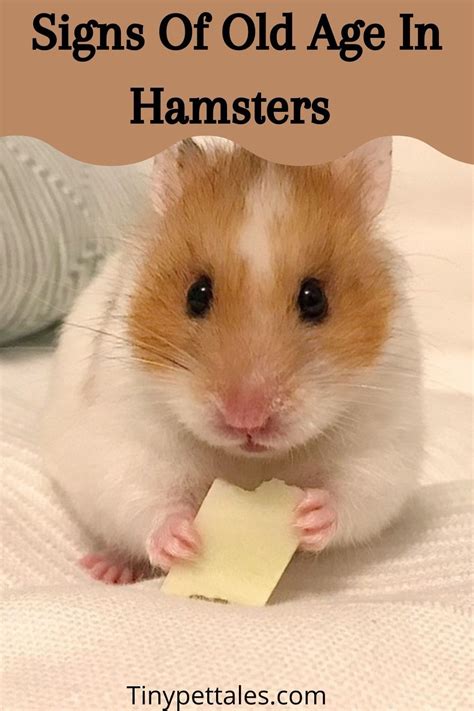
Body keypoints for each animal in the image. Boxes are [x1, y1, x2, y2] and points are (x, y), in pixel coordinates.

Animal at [42, 137, 423, 584]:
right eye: (197, 293)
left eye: (315, 298)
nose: (247, 419)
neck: (248, 461)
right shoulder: (124, 437)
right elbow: (144, 497)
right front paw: (184, 541)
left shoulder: (380, 439)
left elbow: (356, 491)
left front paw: (308, 515)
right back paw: (106, 570)